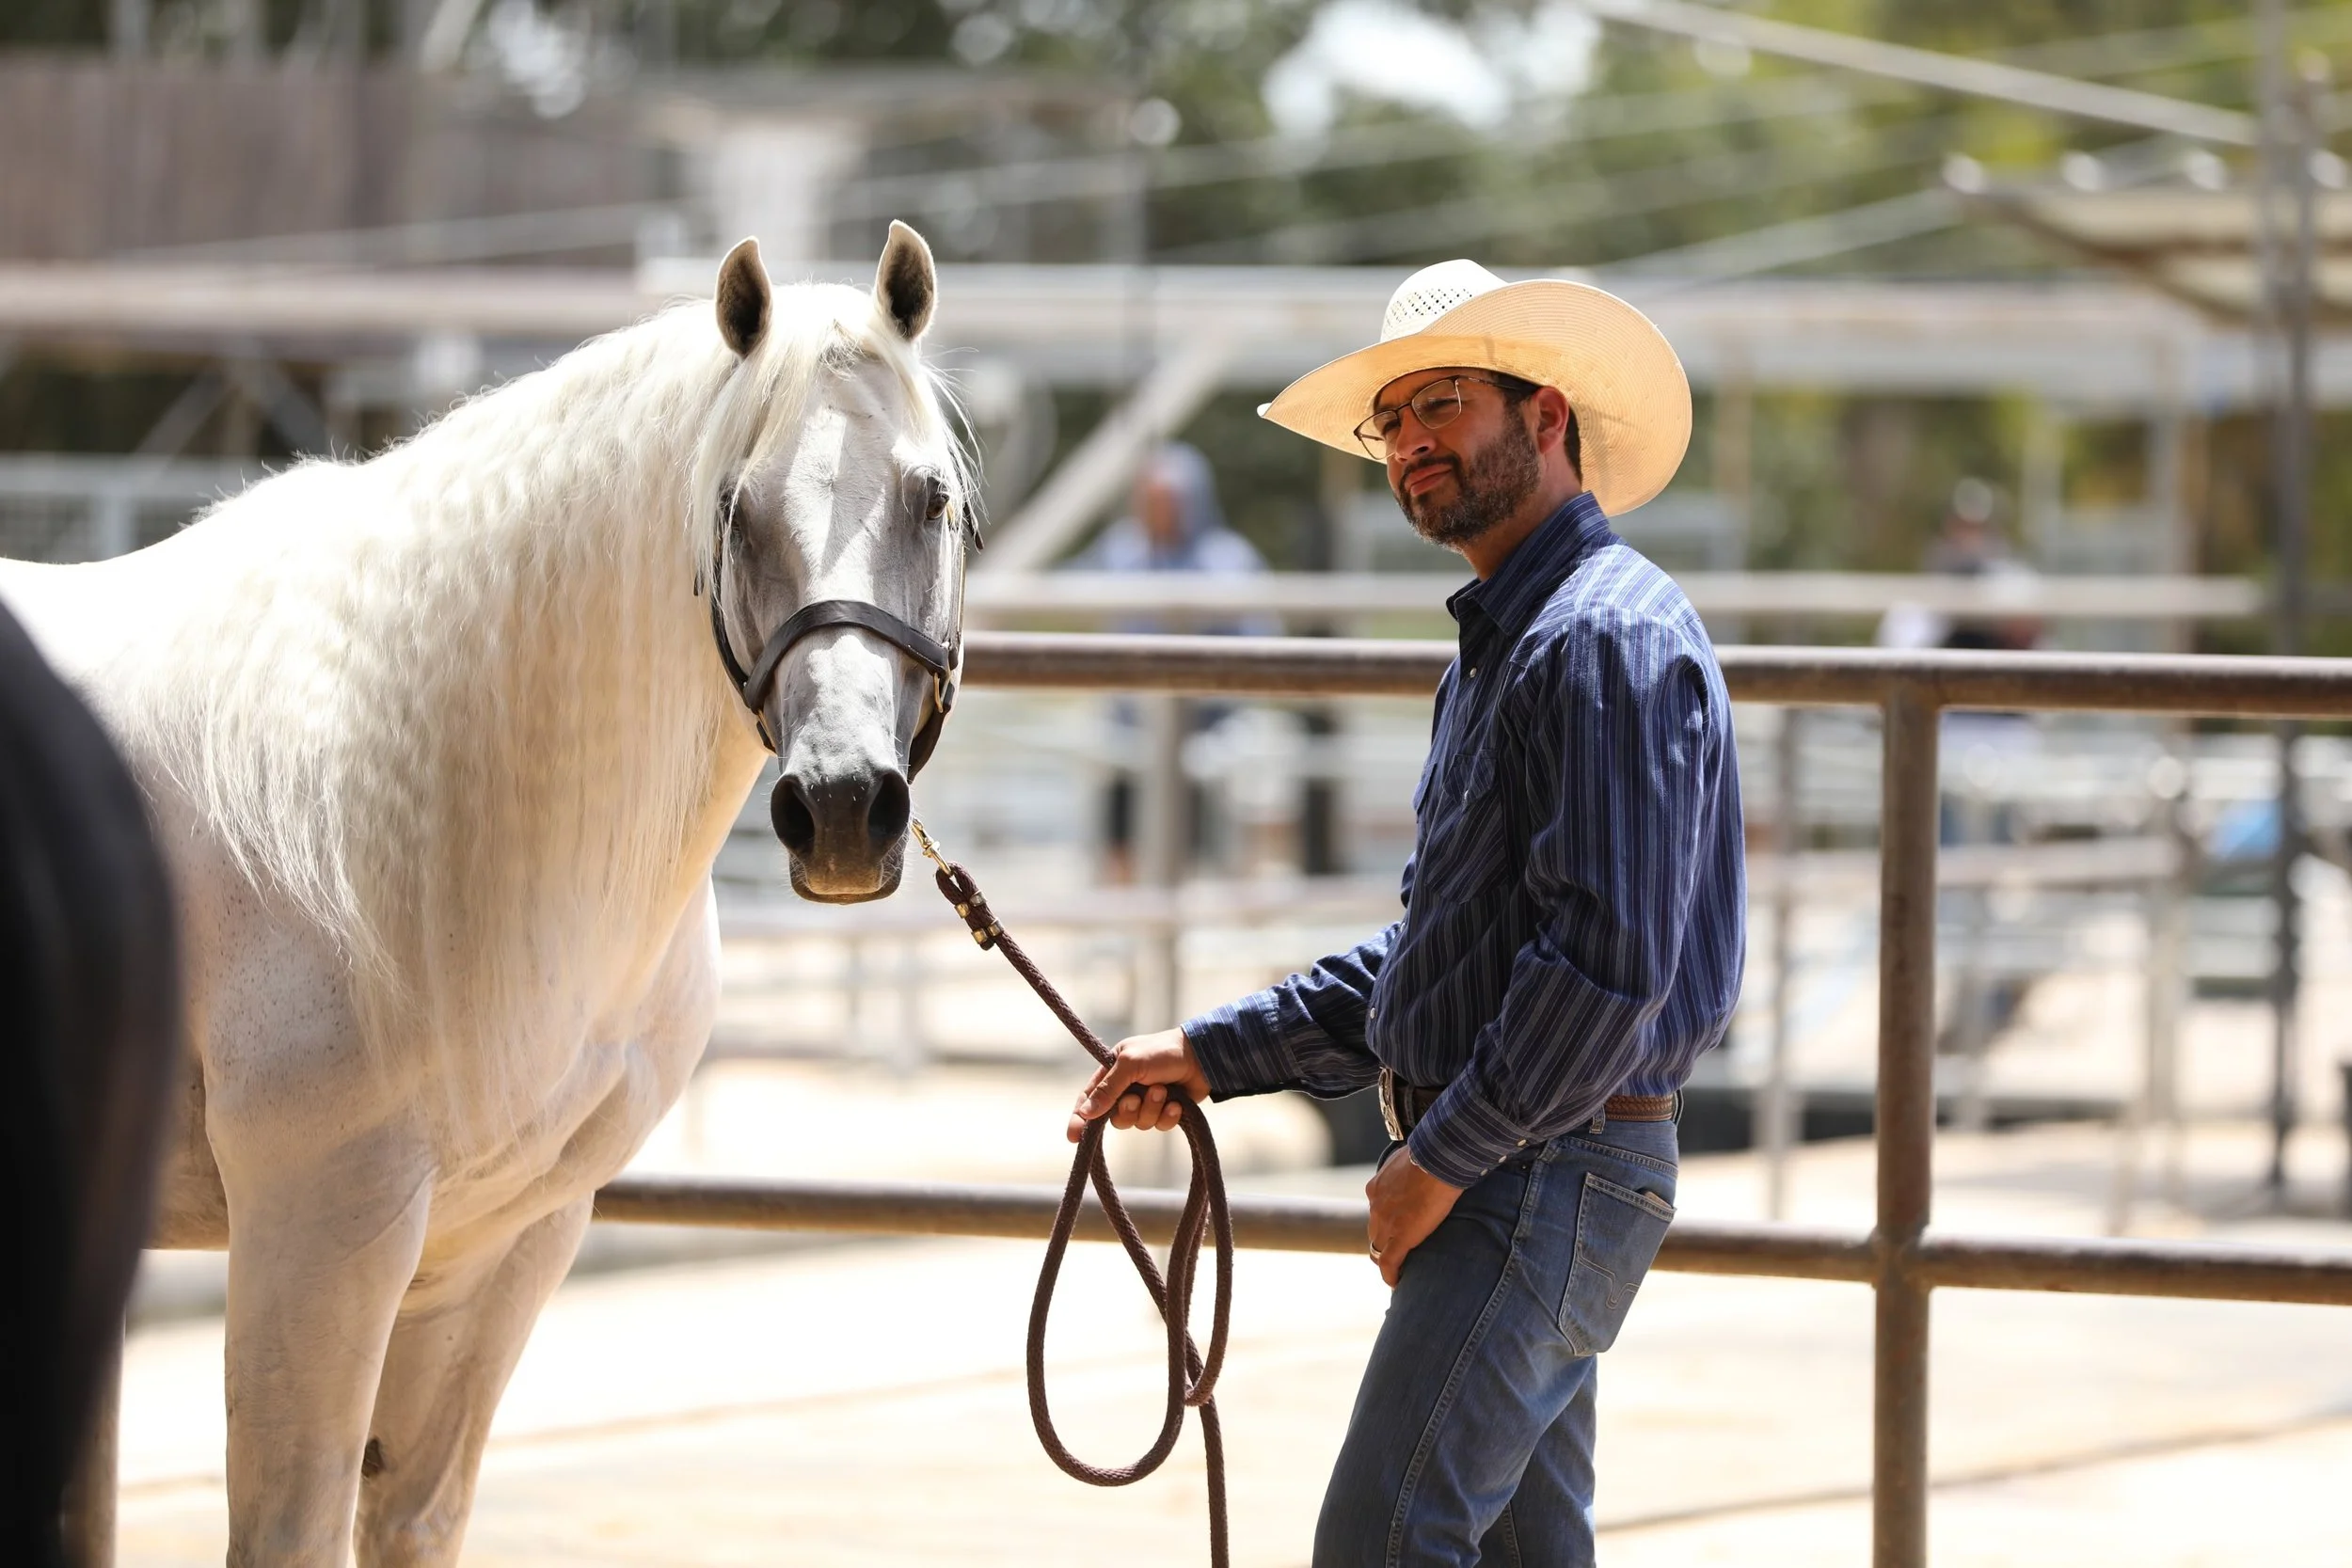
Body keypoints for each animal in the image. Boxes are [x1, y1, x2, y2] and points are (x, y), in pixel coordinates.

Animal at [0, 220, 974, 1565]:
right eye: (736, 509)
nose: (839, 807)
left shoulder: (507, 1241)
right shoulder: (320, 1235)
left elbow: (412, 1517)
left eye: (931, 498)